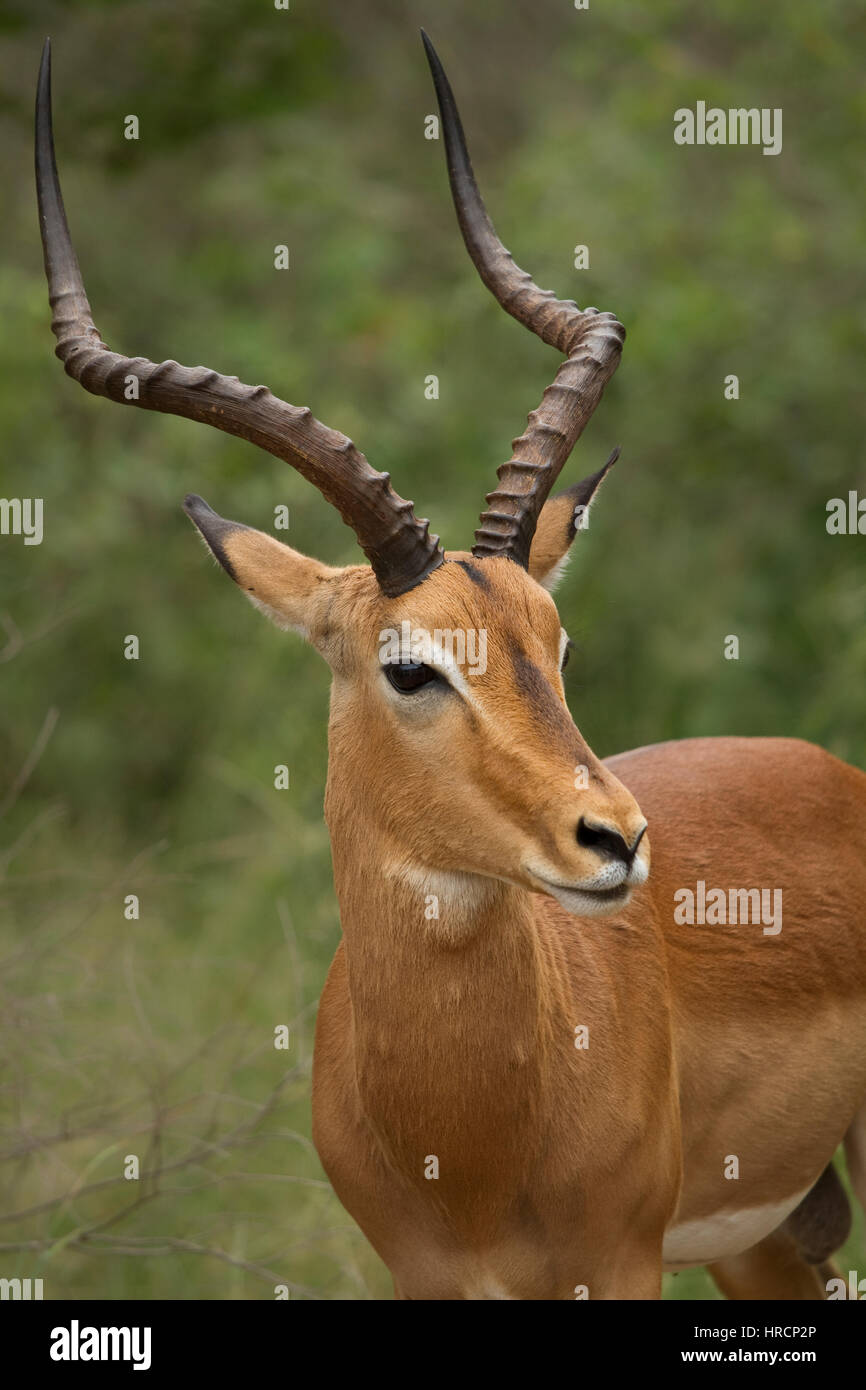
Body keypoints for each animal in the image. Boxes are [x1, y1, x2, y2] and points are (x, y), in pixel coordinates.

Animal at [36, 32, 866, 1300]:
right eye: (411, 667)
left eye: (554, 640)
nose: (614, 839)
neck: (470, 1140)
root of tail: (827, 769)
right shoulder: (420, 1274)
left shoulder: (618, 1261)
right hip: (758, 1240)